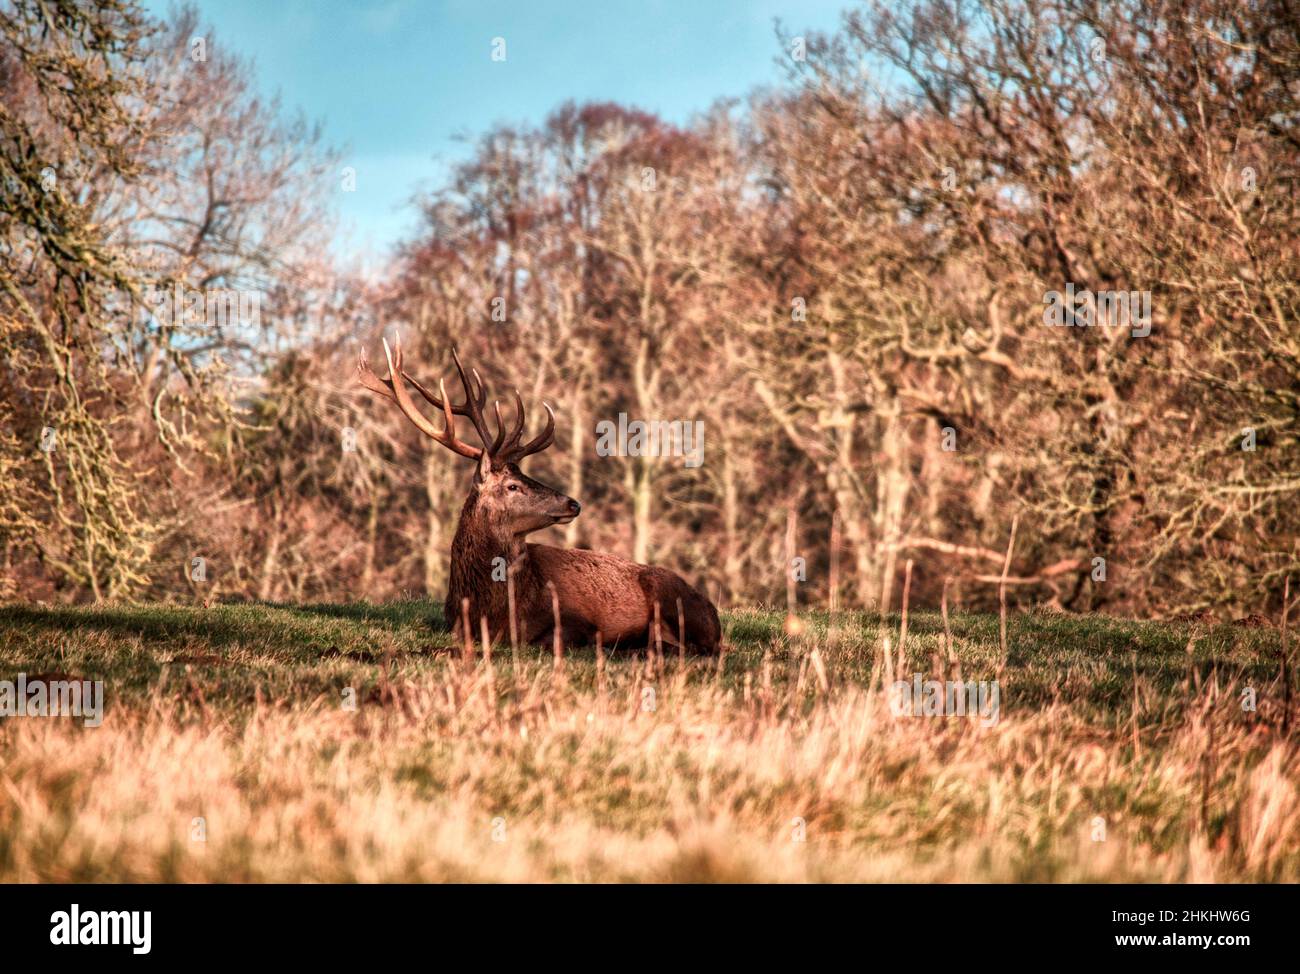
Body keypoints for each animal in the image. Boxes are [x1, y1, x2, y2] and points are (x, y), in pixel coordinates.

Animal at [357, 337, 722, 654]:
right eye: (513, 485)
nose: (573, 503)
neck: (495, 614)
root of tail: (715, 615)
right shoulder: (453, 623)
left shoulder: (577, 621)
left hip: (671, 597)